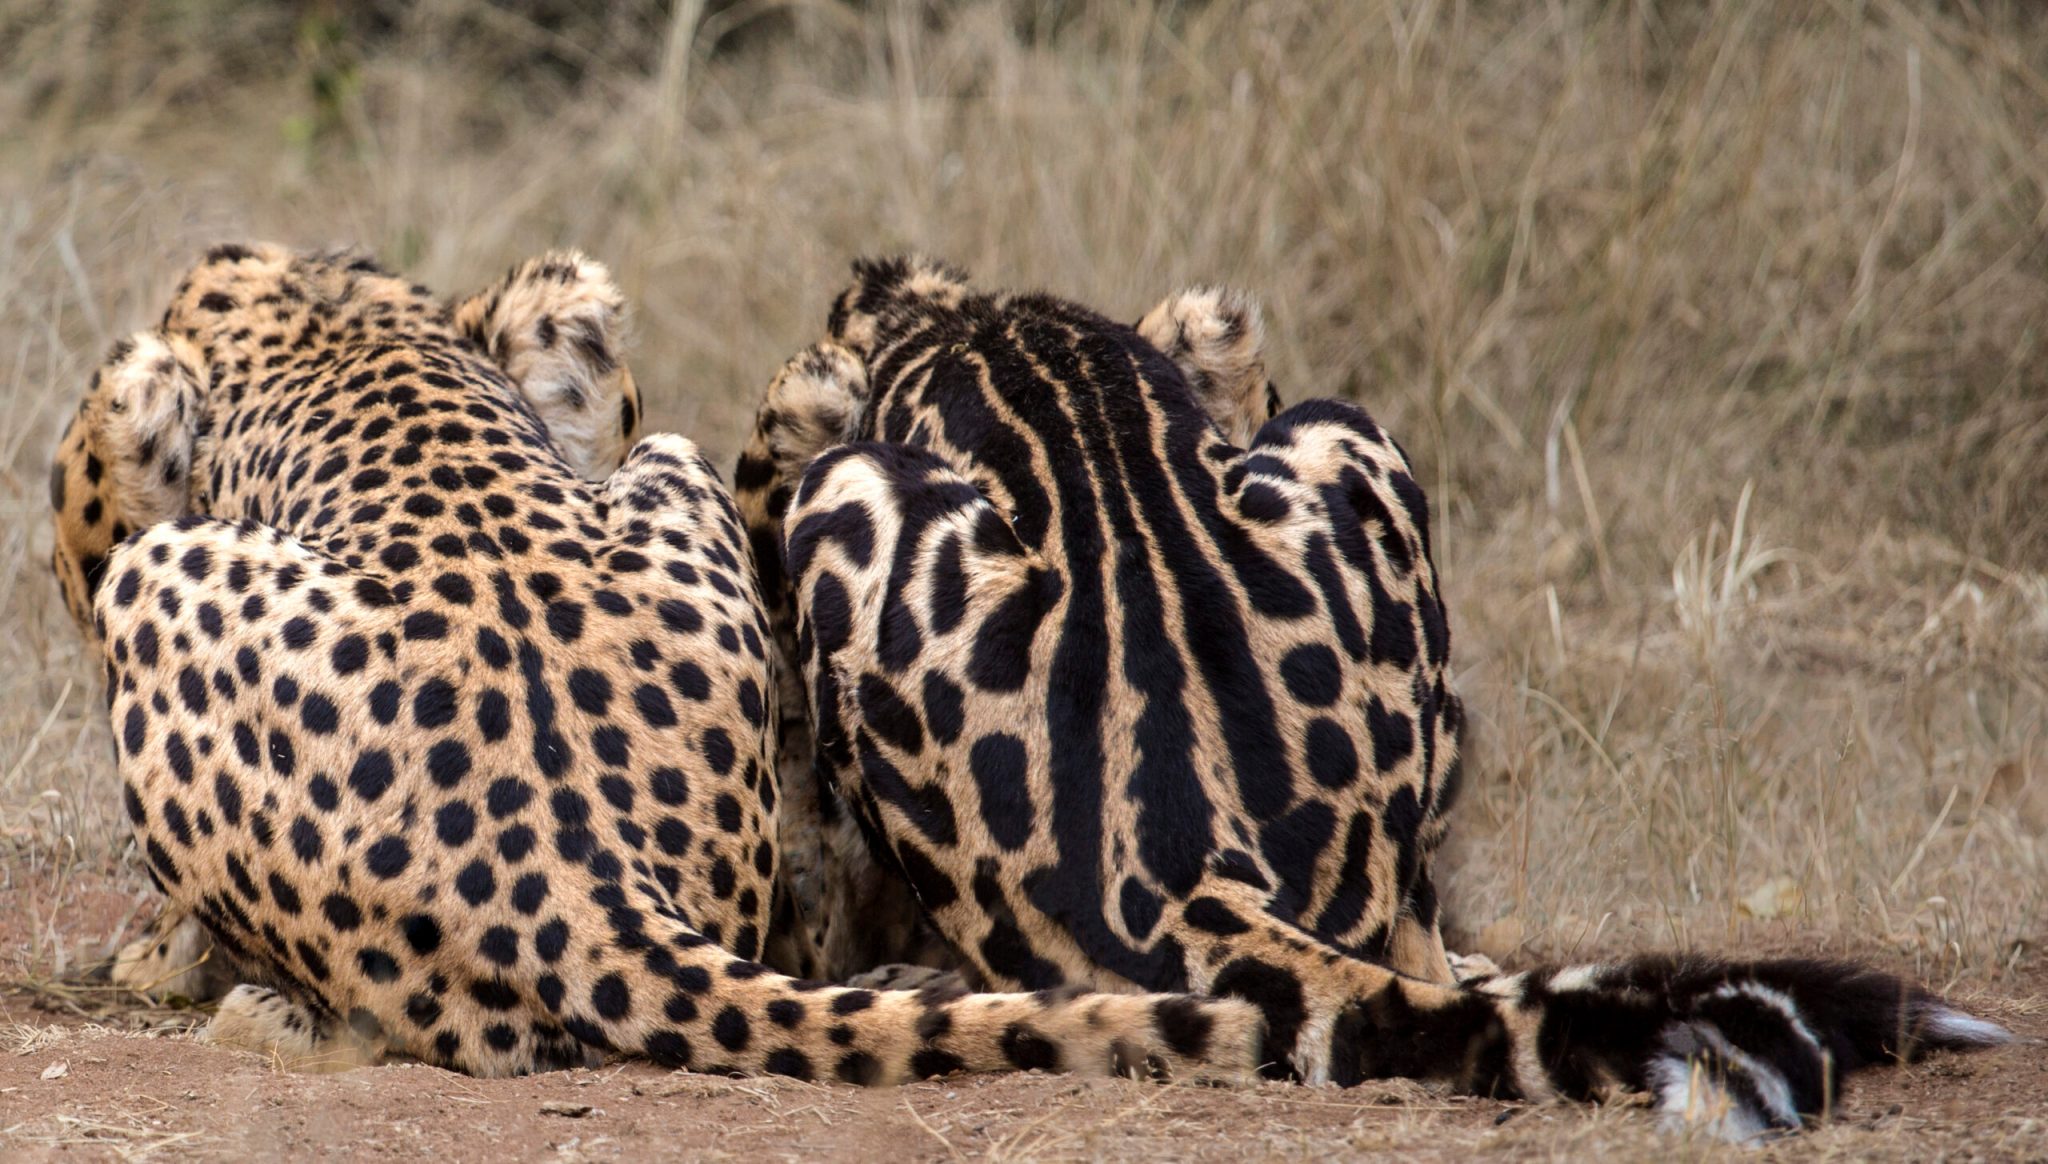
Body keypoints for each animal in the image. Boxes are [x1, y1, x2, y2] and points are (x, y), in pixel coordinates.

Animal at [49, 242, 1275, 1084]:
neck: (320, 308)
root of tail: (582, 879)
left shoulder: (130, 442)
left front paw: (155, 956)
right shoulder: (569, 332)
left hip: (155, 576)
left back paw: (252, 1010)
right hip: (677, 470)